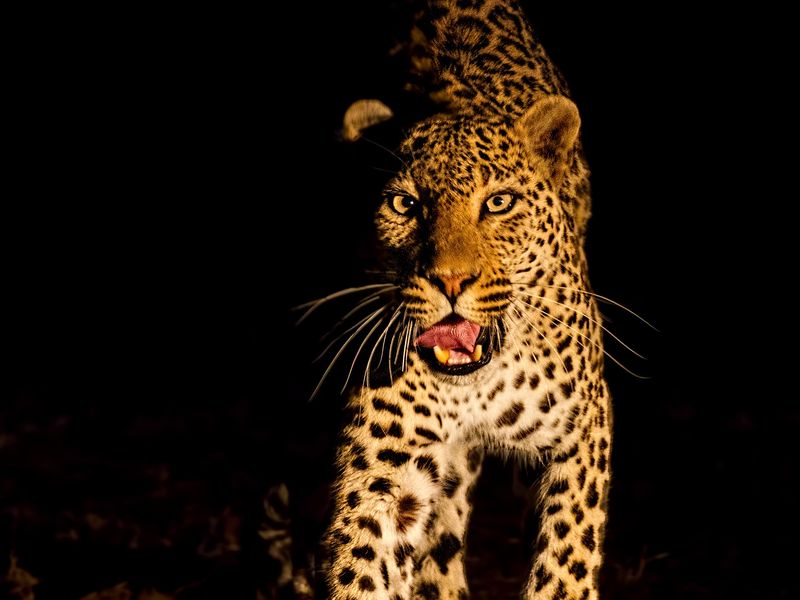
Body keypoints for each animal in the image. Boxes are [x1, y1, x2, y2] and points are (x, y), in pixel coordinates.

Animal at [320, 1, 611, 598]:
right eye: (404, 205)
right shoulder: (386, 472)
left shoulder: (584, 428)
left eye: (498, 203)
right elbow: (366, 560)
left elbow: (567, 558)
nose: (450, 282)